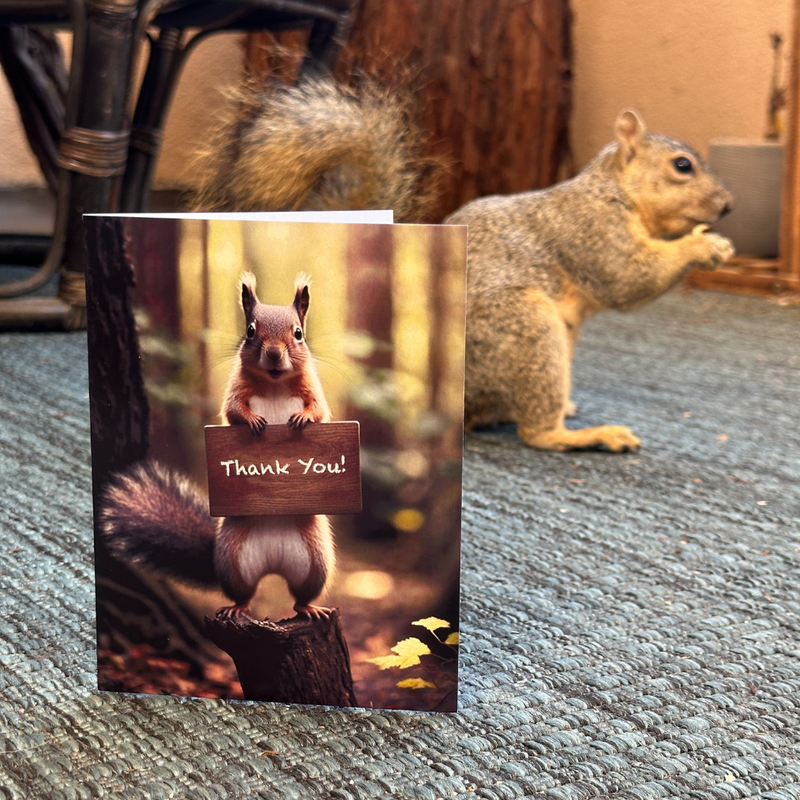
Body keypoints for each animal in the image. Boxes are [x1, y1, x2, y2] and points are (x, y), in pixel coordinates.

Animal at [100, 272, 335, 620]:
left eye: (298, 334)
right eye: (250, 331)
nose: (274, 354)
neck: (274, 384)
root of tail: (273, 565)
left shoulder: (313, 388)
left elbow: (319, 409)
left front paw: (302, 419)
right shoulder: (235, 390)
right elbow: (234, 410)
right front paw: (252, 422)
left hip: (315, 562)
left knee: (300, 597)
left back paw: (309, 607)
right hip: (233, 560)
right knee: (243, 595)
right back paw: (237, 608)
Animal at [445, 109, 735, 452]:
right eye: (682, 165)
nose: (729, 204)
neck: (612, 190)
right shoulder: (593, 230)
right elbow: (627, 276)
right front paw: (705, 246)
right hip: (523, 328)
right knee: (537, 433)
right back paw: (594, 434)